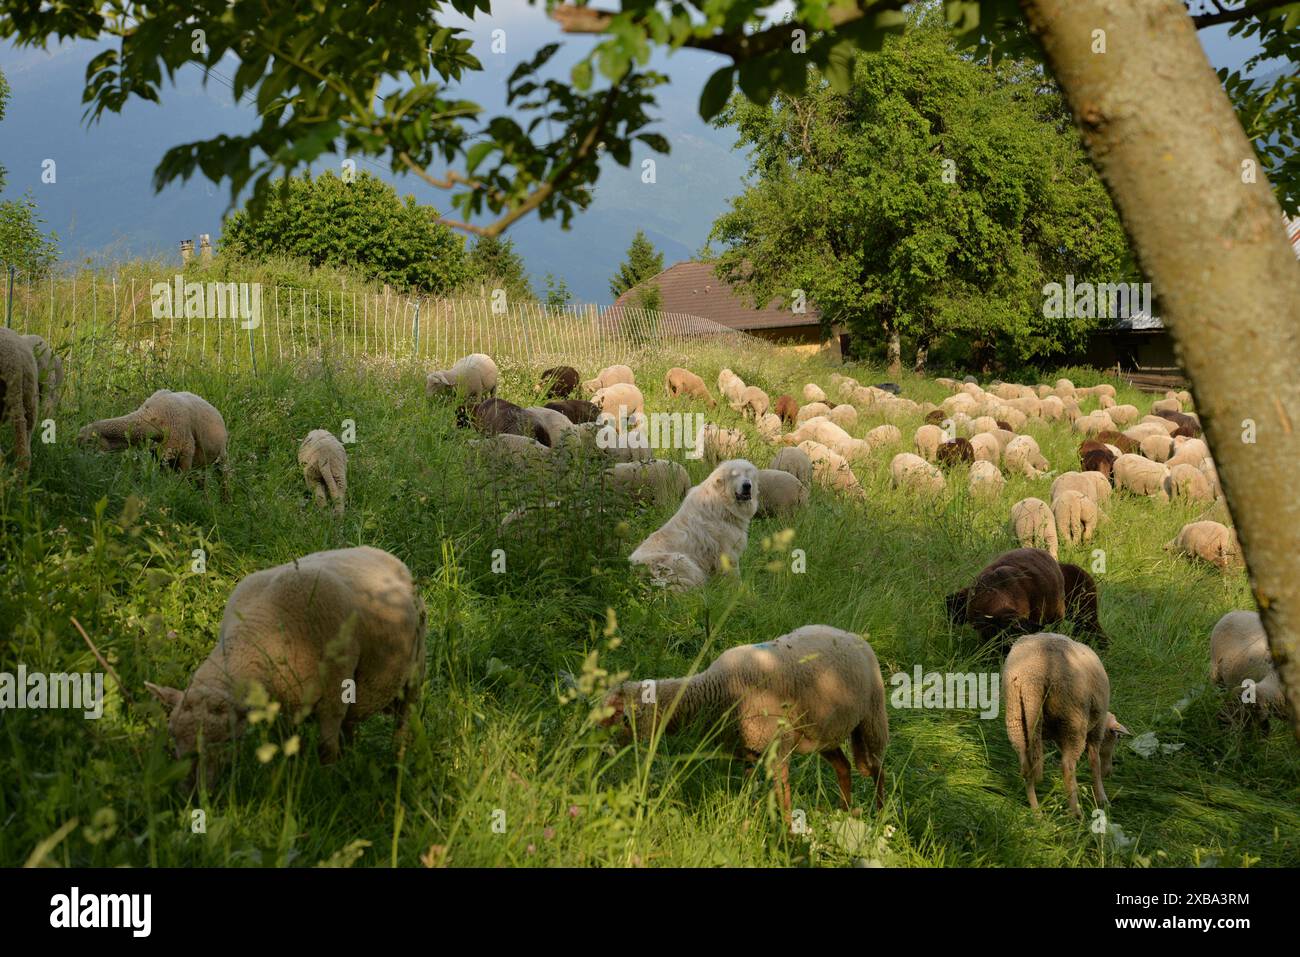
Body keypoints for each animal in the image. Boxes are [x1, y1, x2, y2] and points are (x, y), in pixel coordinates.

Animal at [78, 389, 230, 493]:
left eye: (88, 441)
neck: (151, 416)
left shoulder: (186, 448)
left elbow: (181, 478)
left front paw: (180, 492)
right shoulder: (161, 454)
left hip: (221, 457)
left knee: (223, 479)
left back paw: (225, 503)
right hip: (200, 464)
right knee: (202, 484)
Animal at [145, 546, 426, 786]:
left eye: (226, 740)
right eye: (172, 737)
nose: (192, 791)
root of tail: (380, 553)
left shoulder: (334, 696)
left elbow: (326, 749)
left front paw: (328, 783)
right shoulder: (283, 701)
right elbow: (289, 747)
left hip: (414, 673)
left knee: (402, 721)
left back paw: (397, 763)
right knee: (350, 726)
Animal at [602, 625, 888, 816]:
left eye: (618, 719)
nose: (601, 755)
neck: (715, 690)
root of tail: (853, 635)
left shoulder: (776, 748)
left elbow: (783, 798)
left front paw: (788, 838)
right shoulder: (747, 750)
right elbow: (748, 791)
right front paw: (744, 823)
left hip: (872, 719)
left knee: (877, 769)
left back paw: (879, 814)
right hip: (822, 732)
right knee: (844, 766)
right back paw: (844, 812)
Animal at [1002, 632, 1128, 817]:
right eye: (1117, 738)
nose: (1109, 773)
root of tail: (1032, 677)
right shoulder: (1096, 731)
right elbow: (1094, 760)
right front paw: (1102, 798)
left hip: (1016, 718)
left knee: (1026, 766)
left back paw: (1037, 813)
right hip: (1074, 718)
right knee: (1067, 766)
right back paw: (1076, 812)